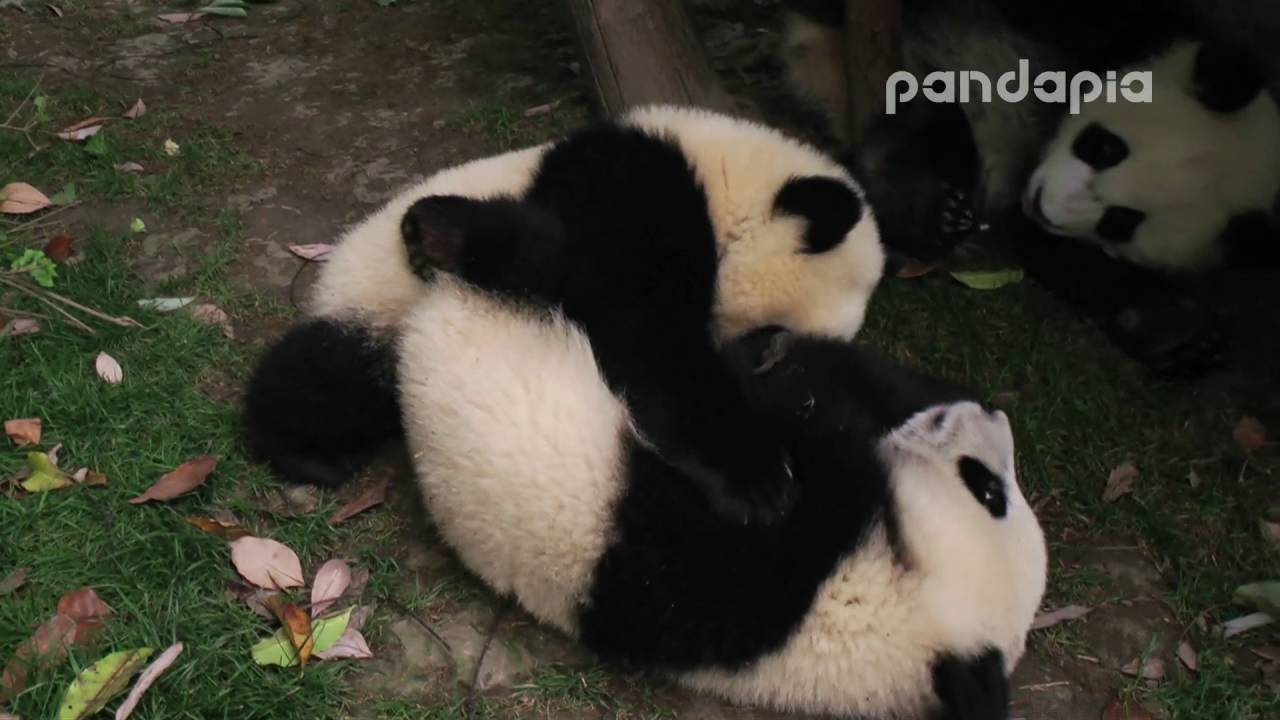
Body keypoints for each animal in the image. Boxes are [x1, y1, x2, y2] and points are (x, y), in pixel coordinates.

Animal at [244, 105, 886, 525]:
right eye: (771, 336)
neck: (724, 180)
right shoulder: (635, 188)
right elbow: (645, 338)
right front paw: (761, 480)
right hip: (375, 301)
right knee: (327, 379)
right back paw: (300, 448)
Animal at [779, 0, 1280, 377]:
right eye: (1105, 147)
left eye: (1122, 222)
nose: (1046, 204)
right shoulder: (1122, 27)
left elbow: (1060, 253)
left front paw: (1176, 331)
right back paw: (916, 201)